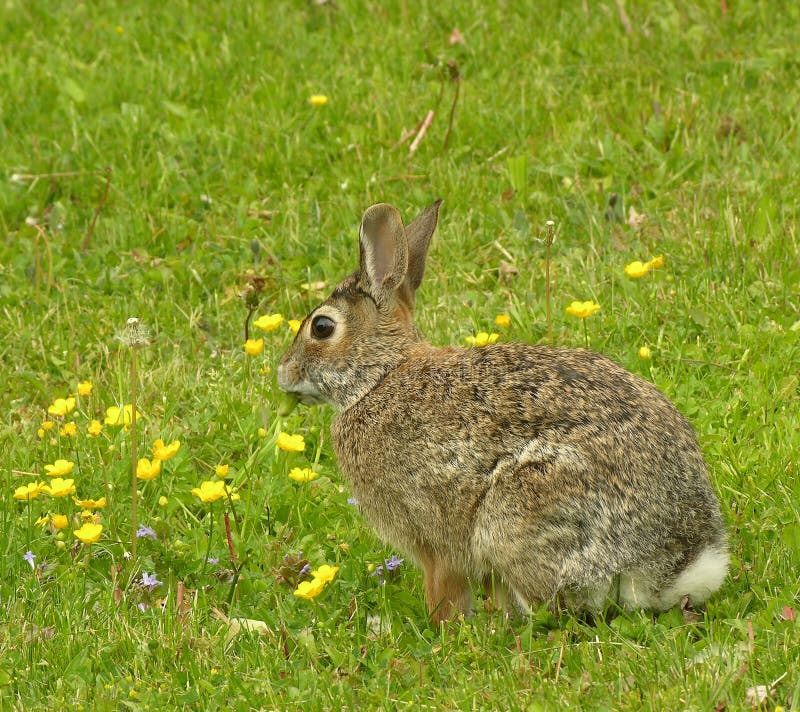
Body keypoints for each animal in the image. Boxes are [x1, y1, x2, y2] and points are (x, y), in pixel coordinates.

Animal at [277, 200, 729, 625]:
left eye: (321, 327)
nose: (283, 372)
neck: (380, 376)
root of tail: (671, 565)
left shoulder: (433, 538)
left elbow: (444, 589)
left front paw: (442, 629)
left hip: (515, 518)